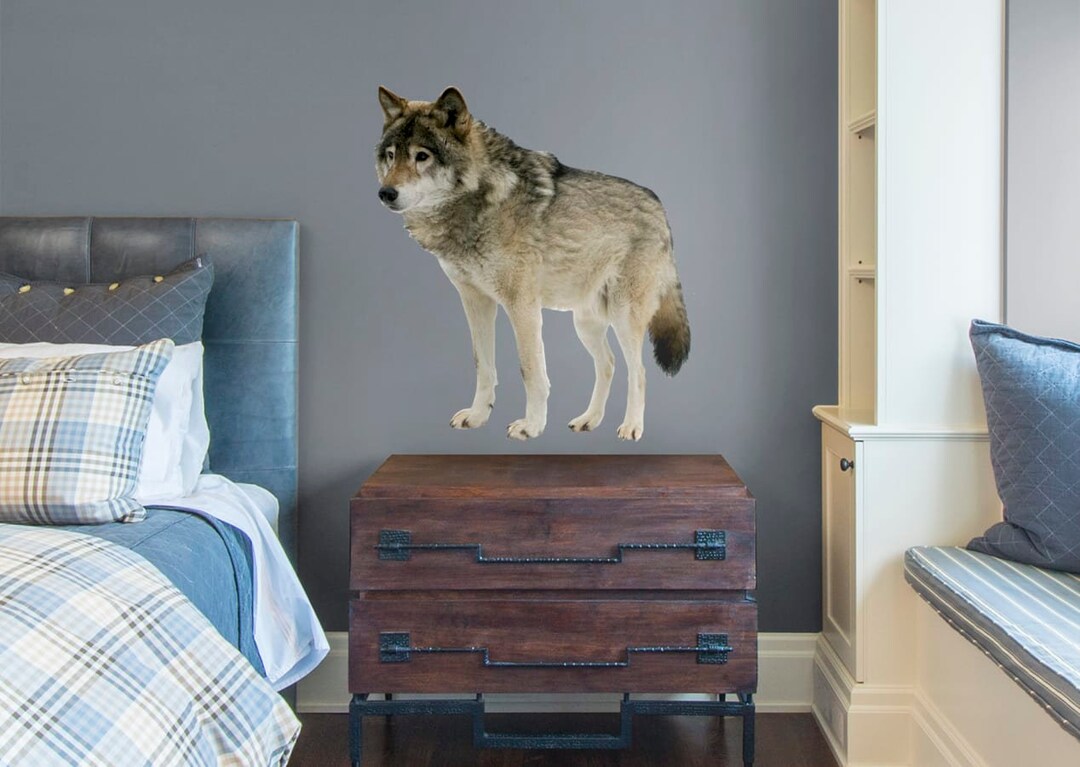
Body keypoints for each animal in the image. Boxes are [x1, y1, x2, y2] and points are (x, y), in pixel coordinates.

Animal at [375, 86, 689, 441]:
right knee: (608, 365)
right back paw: (589, 420)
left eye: (422, 156)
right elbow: (483, 365)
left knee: (639, 372)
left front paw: (532, 426)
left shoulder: (522, 306)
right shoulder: (475, 301)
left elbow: (531, 371)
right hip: (585, 324)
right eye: (391, 155)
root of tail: (659, 205)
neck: (480, 201)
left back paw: (632, 426)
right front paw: (478, 416)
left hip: (624, 317)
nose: (385, 193)